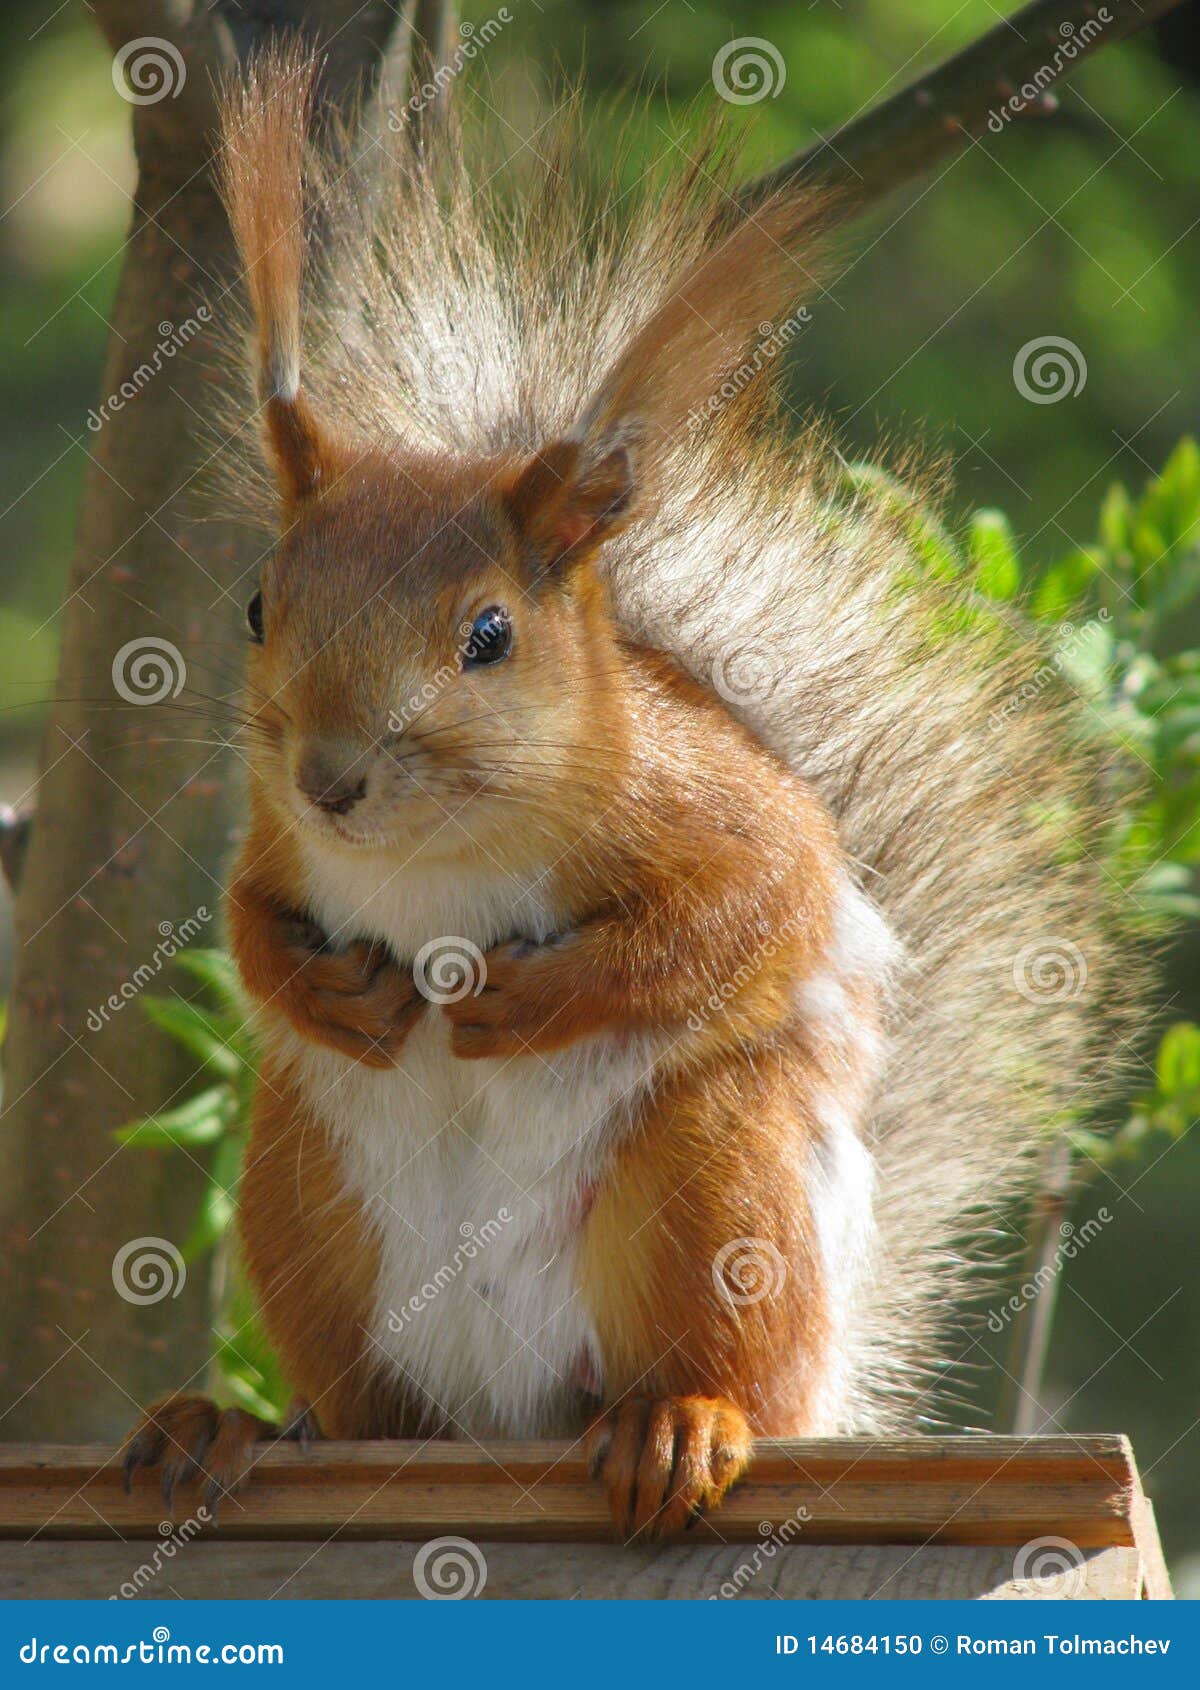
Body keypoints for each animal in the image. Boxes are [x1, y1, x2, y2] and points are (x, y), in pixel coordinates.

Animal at [122, 50, 1132, 1538]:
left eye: (489, 635)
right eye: (259, 605)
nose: (333, 777)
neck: (432, 854)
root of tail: (509, 1413)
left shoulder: (713, 808)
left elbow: (747, 908)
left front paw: (528, 999)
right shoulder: (272, 842)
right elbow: (253, 925)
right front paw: (329, 988)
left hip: (714, 1182)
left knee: (725, 1370)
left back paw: (678, 1425)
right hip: (306, 1194)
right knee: (368, 1412)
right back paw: (233, 1429)